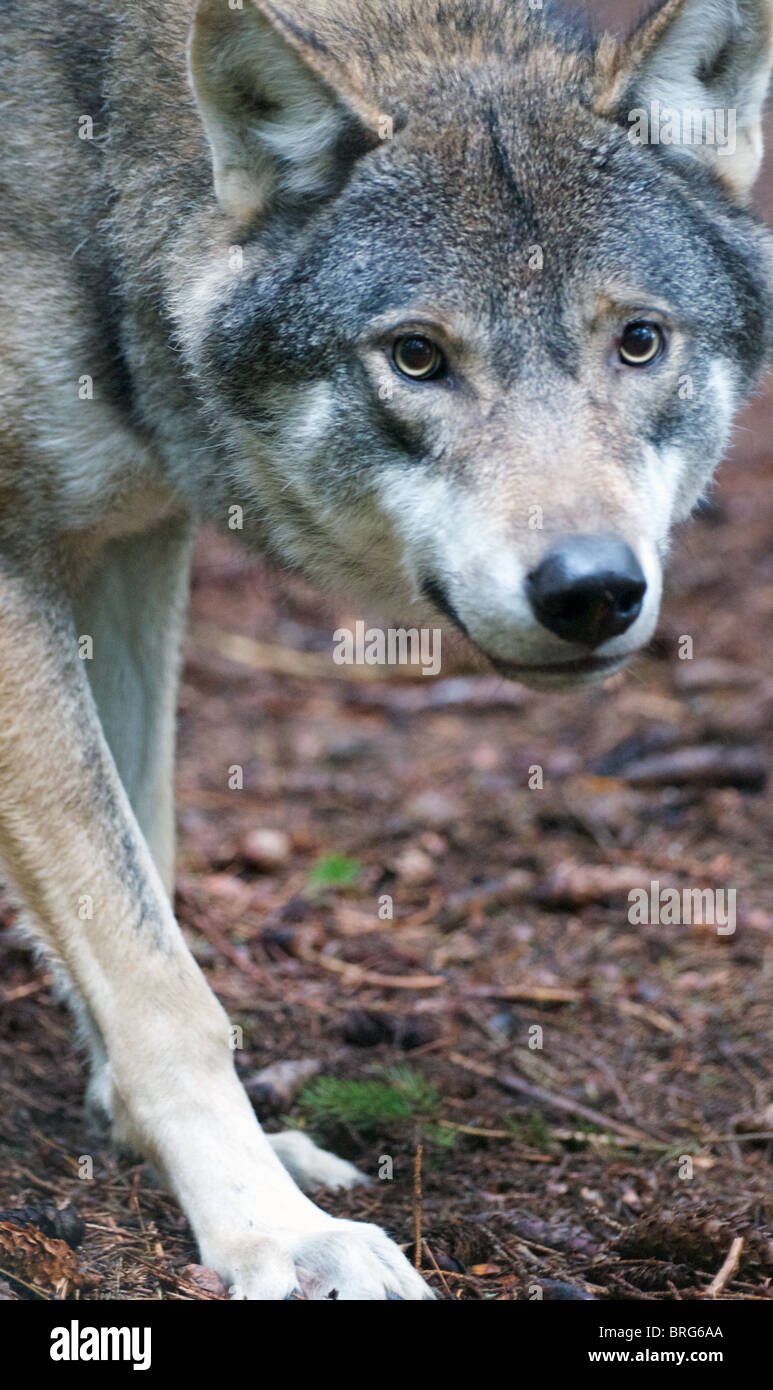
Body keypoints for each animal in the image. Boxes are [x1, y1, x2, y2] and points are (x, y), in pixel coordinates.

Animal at [0, 0, 771, 1300]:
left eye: (638, 341)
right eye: (416, 357)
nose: (590, 590)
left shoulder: (130, 536)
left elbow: (143, 863)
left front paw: (173, 1140)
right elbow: (155, 971)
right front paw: (270, 1230)